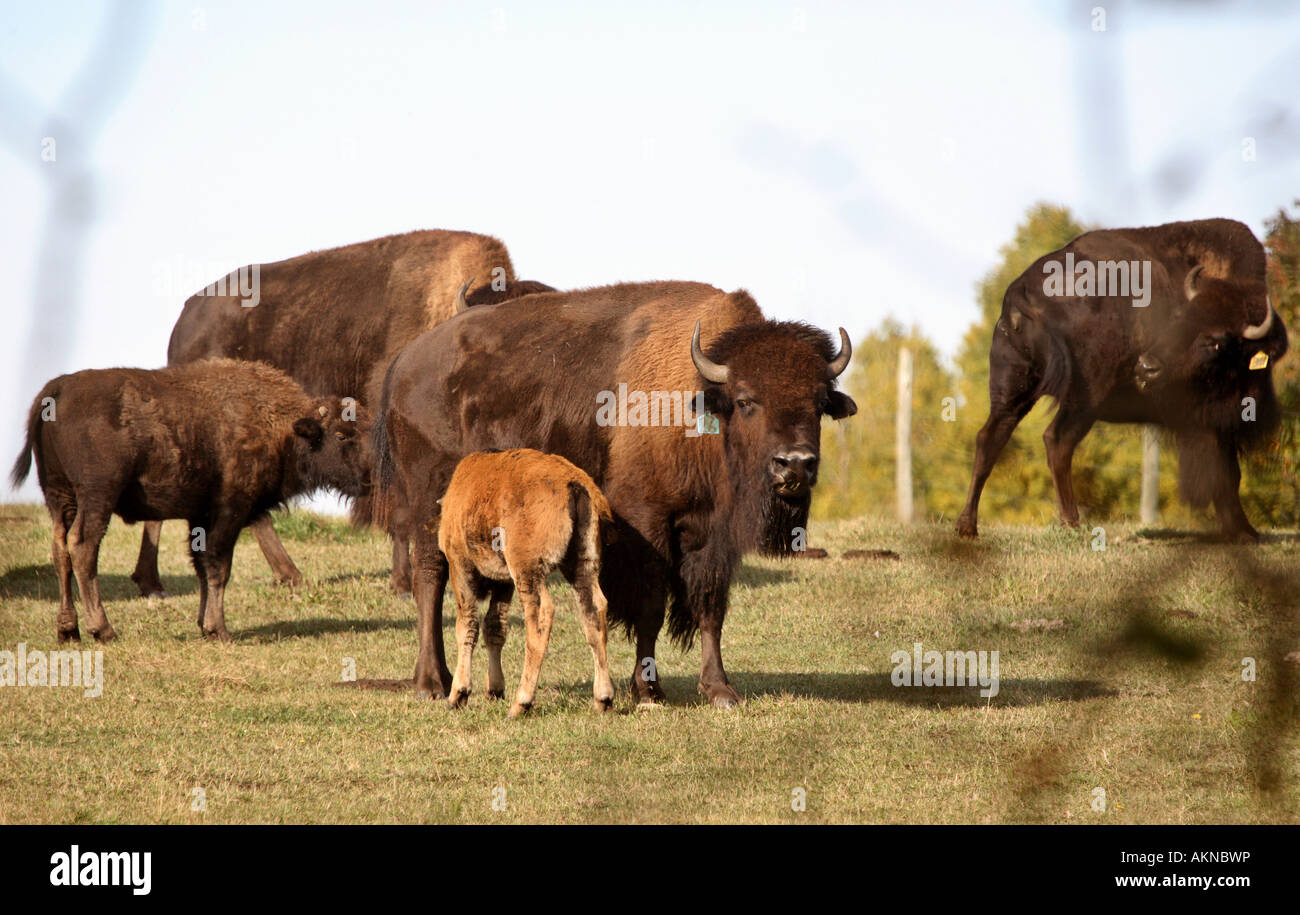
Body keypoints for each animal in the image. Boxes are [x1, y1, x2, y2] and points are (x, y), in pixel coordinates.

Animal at [375, 281, 856, 707]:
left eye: (819, 402)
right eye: (745, 400)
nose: (794, 464)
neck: (698, 400)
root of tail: (404, 364)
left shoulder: (712, 537)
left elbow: (710, 609)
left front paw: (720, 690)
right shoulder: (648, 524)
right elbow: (650, 608)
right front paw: (647, 691)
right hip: (431, 505)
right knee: (430, 578)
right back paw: (432, 683)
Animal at [956, 218, 1285, 542]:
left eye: (1216, 341)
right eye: (1179, 321)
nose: (1147, 367)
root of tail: (1022, 290)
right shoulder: (1215, 421)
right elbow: (1227, 473)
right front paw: (1244, 532)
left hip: (1014, 391)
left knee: (990, 438)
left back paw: (967, 526)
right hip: (1084, 400)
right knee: (1057, 441)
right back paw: (1071, 522)